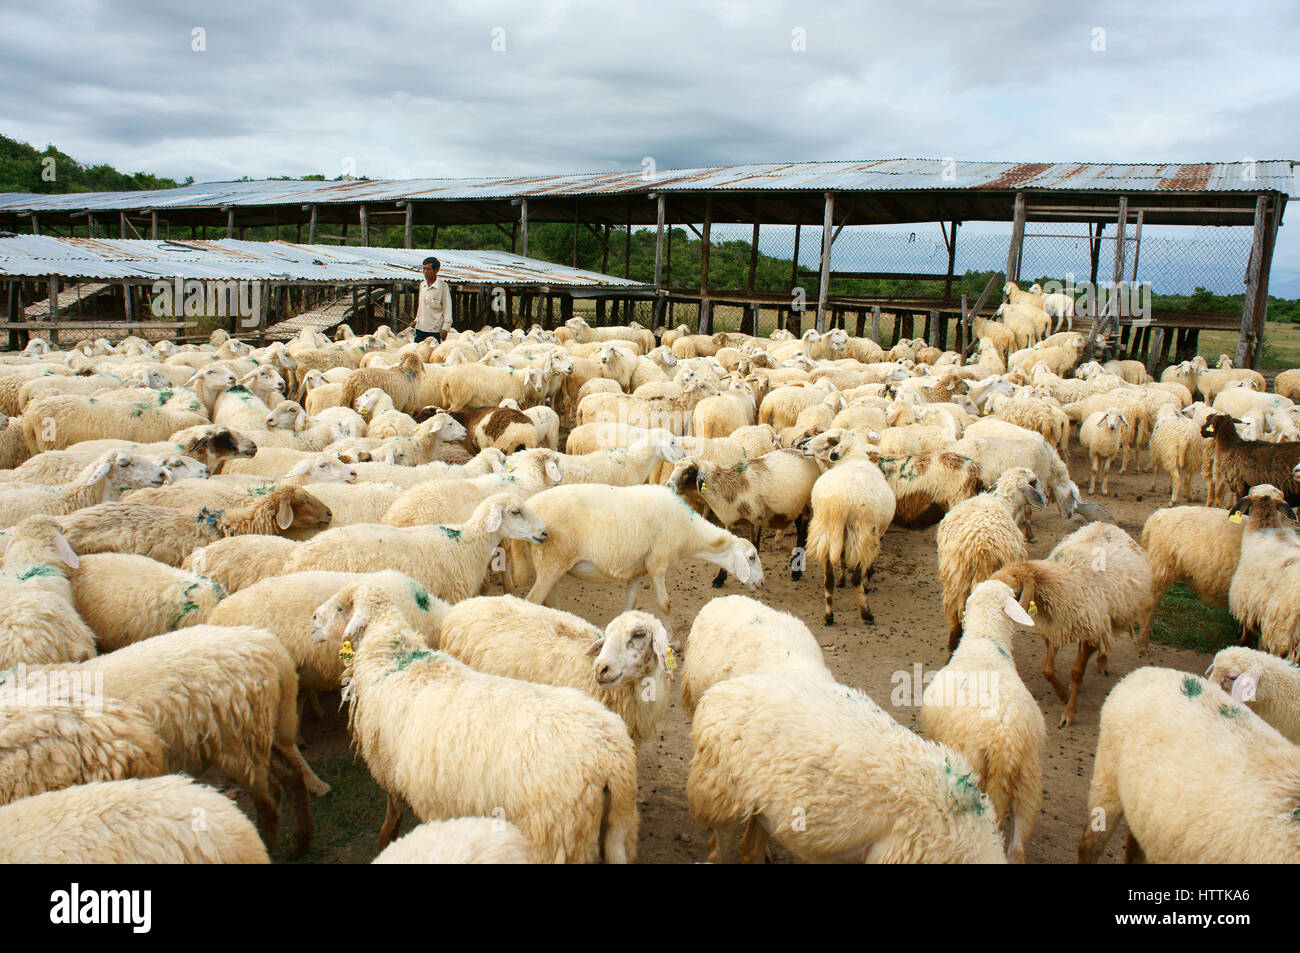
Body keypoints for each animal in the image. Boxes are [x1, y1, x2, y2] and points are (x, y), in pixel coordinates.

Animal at [34, 624, 316, 854]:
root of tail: (270, 649)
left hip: (237, 741)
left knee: (270, 794)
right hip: (261, 731)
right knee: (292, 776)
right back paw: (301, 841)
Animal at [318, 583, 639, 861]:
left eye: (340, 608)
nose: (313, 620)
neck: (395, 659)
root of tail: (610, 758)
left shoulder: (388, 770)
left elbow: (391, 817)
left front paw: (384, 843)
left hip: (557, 835)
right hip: (618, 827)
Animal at [799, 429, 896, 625]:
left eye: (831, 440)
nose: (804, 447)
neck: (851, 458)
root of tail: (840, 501)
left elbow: (842, 559)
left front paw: (841, 580)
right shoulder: (876, 534)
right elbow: (868, 564)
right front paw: (868, 581)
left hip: (826, 530)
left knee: (828, 577)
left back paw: (829, 615)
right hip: (860, 533)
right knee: (856, 578)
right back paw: (866, 613)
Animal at [936, 467, 1045, 652]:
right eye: (1034, 481)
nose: (1045, 497)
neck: (1005, 504)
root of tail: (978, 547)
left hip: (955, 580)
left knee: (954, 621)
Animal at [993, 523, 1153, 726]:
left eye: (1013, 591)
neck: (1065, 584)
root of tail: (1105, 524)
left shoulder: (1090, 634)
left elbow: (1076, 672)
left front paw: (1069, 712)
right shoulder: (1054, 628)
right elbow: (1047, 670)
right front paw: (1064, 694)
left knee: (1107, 637)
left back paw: (1102, 661)